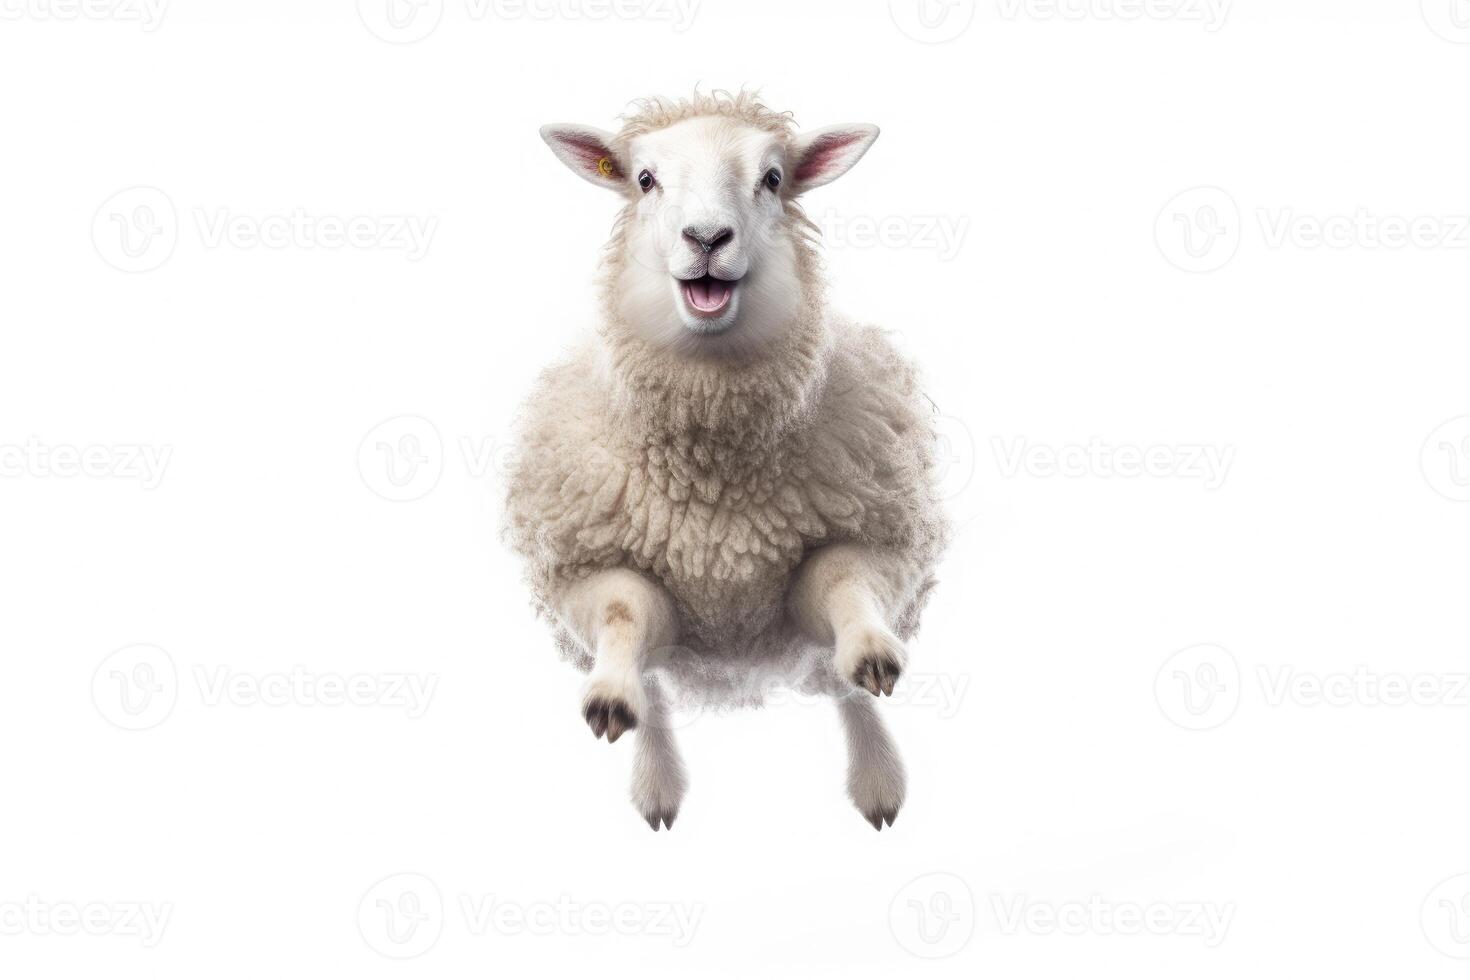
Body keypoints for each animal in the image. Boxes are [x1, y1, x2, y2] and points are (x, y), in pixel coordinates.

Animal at [504, 91, 949, 831]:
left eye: (772, 178)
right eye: (645, 179)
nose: (707, 239)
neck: (714, 472)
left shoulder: (870, 533)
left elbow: (842, 583)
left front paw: (871, 652)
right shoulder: (585, 567)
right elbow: (624, 611)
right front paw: (611, 696)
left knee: (839, 682)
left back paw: (877, 778)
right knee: (655, 685)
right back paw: (656, 781)